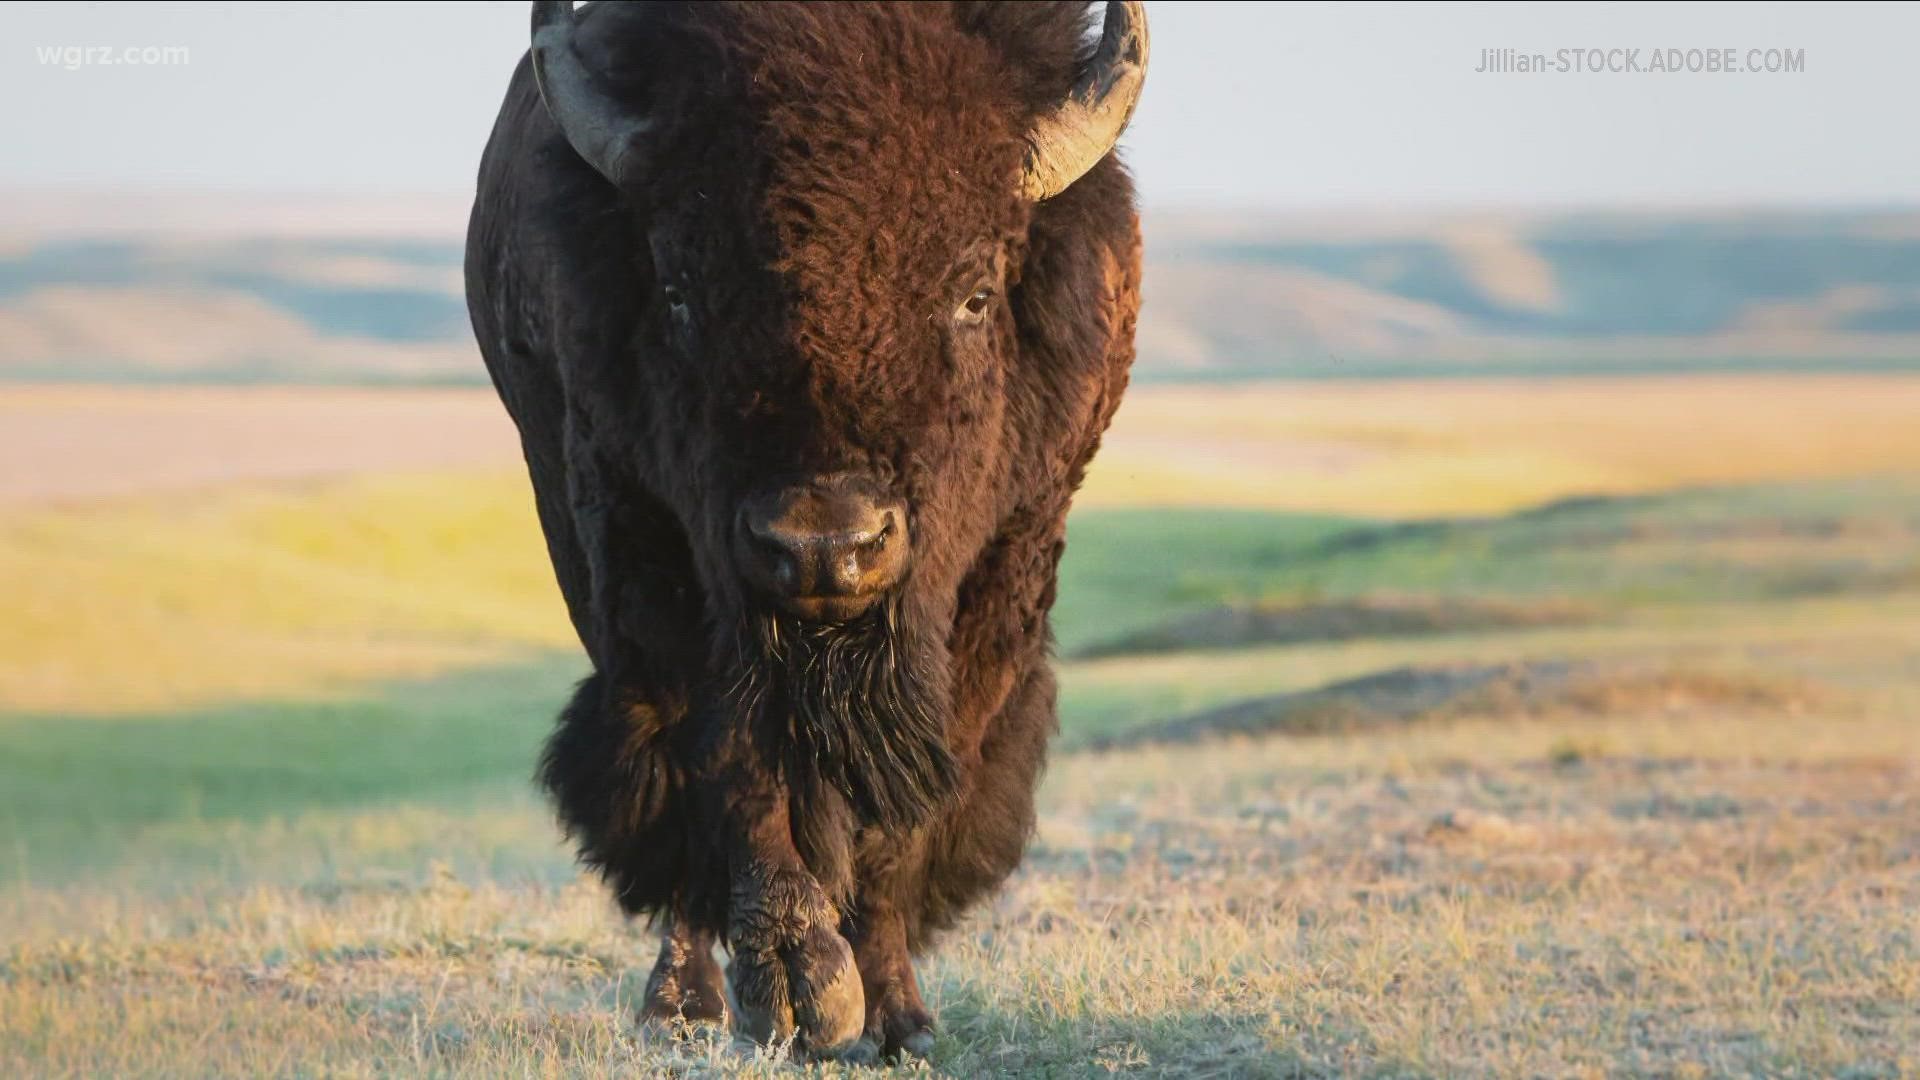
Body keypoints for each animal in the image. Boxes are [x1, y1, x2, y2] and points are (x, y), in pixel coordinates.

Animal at [464, 0, 1148, 1059]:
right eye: (680, 293)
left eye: (972, 292)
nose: (826, 547)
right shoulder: (660, 555)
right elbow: (727, 760)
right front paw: (802, 988)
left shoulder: (1003, 568)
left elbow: (909, 796)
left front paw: (898, 1014)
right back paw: (683, 1003)